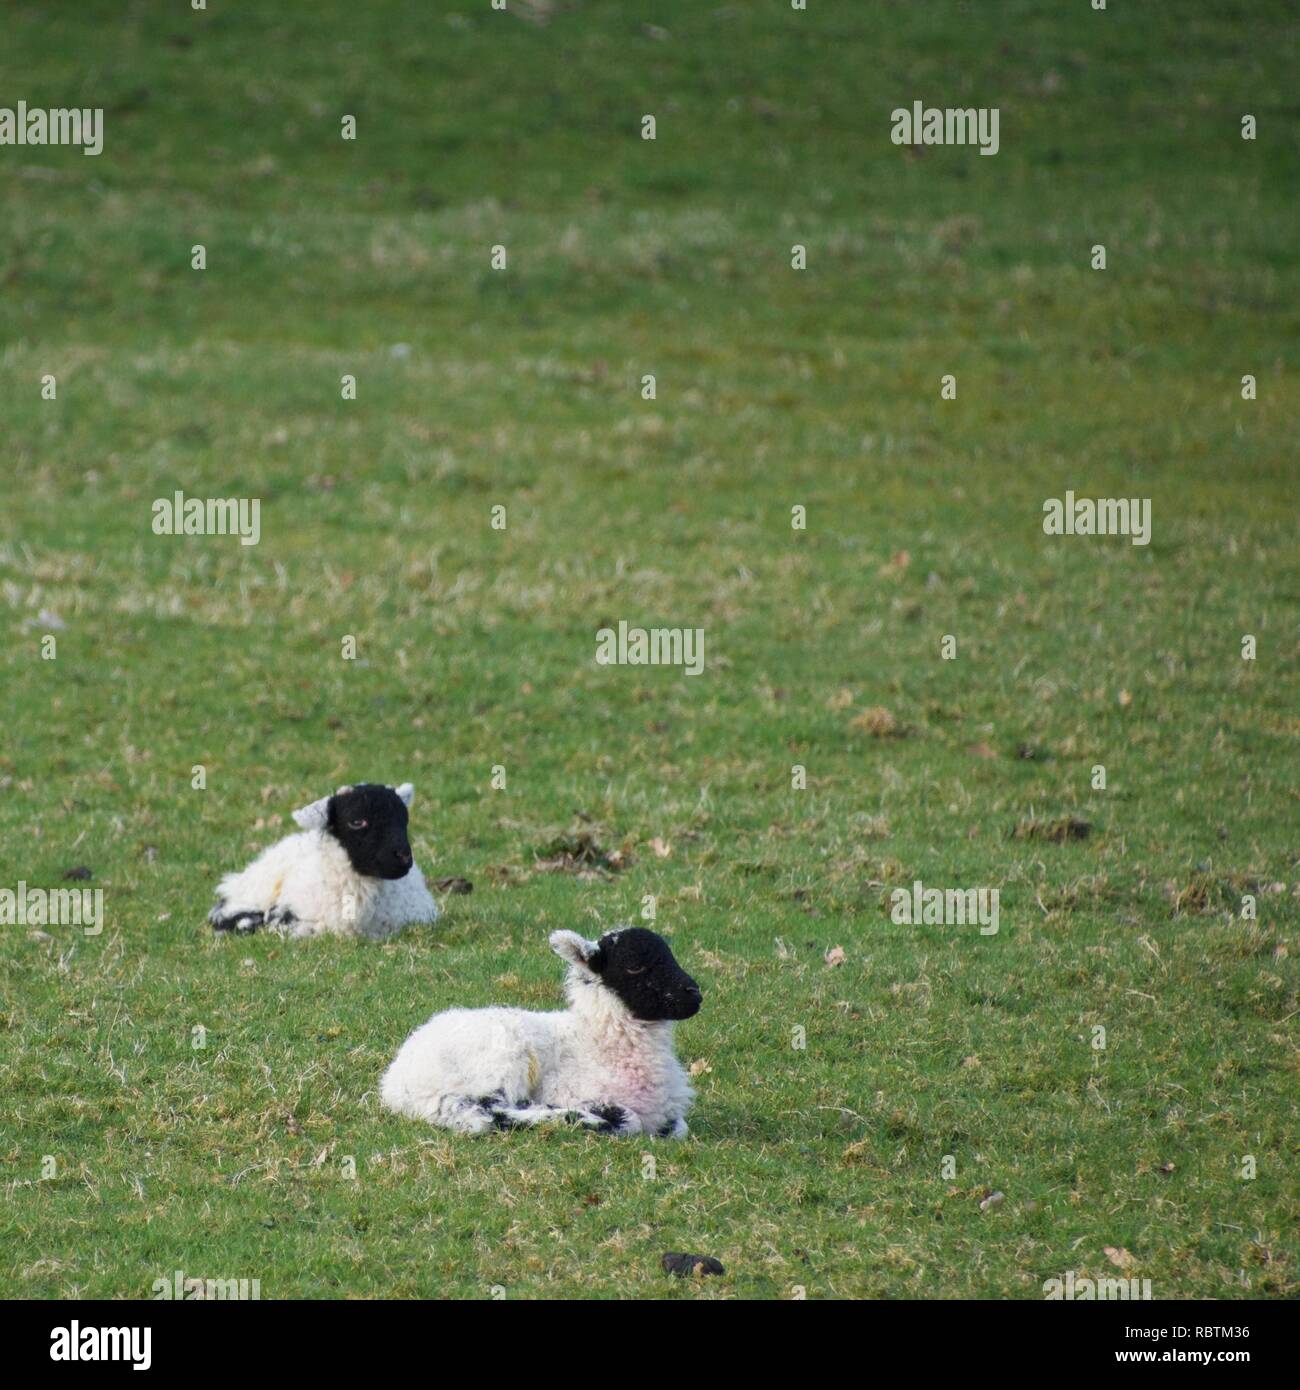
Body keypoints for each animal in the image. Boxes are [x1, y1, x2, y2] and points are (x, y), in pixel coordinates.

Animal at [380, 926, 702, 1137]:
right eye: (635, 966)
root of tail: (395, 1084)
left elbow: (679, 1127)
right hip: (498, 1060)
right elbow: (631, 1119)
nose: (695, 994)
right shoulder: (568, 1089)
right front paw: (599, 1118)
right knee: (487, 1113)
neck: (595, 1041)